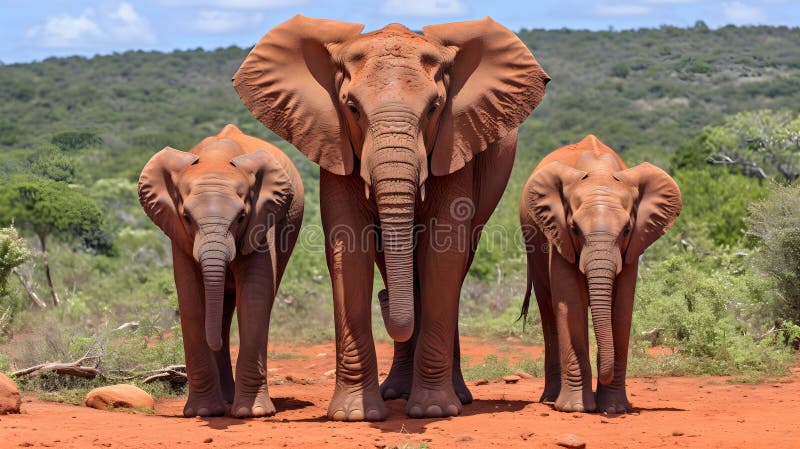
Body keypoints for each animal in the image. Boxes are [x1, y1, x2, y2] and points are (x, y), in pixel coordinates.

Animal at [138, 124, 304, 418]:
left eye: (241, 217)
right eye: (187, 217)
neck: (216, 159)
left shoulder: (261, 221)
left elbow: (255, 297)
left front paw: (252, 413)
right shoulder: (178, 232)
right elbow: (191, 297)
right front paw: (203, 412)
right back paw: (224, 399)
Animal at [233, 15, 549, 420]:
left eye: (434, 108)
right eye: (352, 108)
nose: (385, 300)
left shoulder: (454, 142)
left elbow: (444, 253)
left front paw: (433, 411)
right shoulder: (334, 143)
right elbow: (349, 249)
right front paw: (354, 415)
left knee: (459, 262)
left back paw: (456, 397)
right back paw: (397, 391)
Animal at [519, 135, 681, 414]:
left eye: (626, 229)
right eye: (574, 228)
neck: (599, 172)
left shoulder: (633, 244)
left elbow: (622, 305)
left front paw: (614, 409)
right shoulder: (558, 232)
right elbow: (570, 302)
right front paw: (575, 408)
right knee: (548, 310)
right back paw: (551, 399)